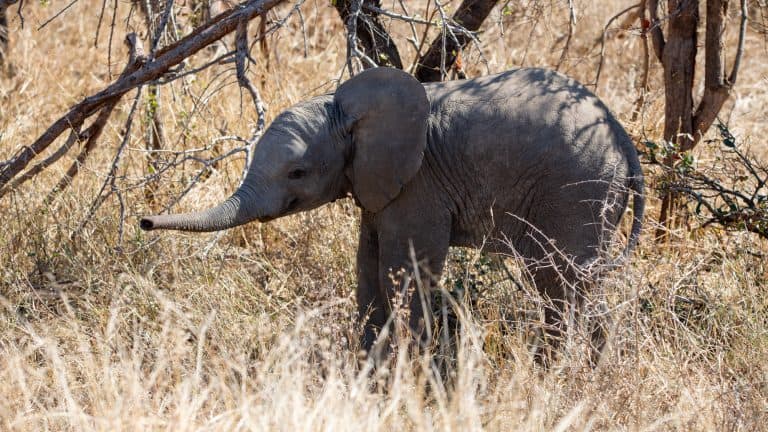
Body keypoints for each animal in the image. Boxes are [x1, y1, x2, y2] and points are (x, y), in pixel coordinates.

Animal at [140, 67, 644, 362]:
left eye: (297, 172)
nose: (145, 221)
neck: (345, 111)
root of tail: (622, 135)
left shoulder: (420, 182)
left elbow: (403, 272)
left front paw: (413, 376)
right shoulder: (377, 183)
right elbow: (367, 268)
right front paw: (371, 372)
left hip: (579, 190)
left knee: (561, 282)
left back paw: (557, 372)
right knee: (578, 284)